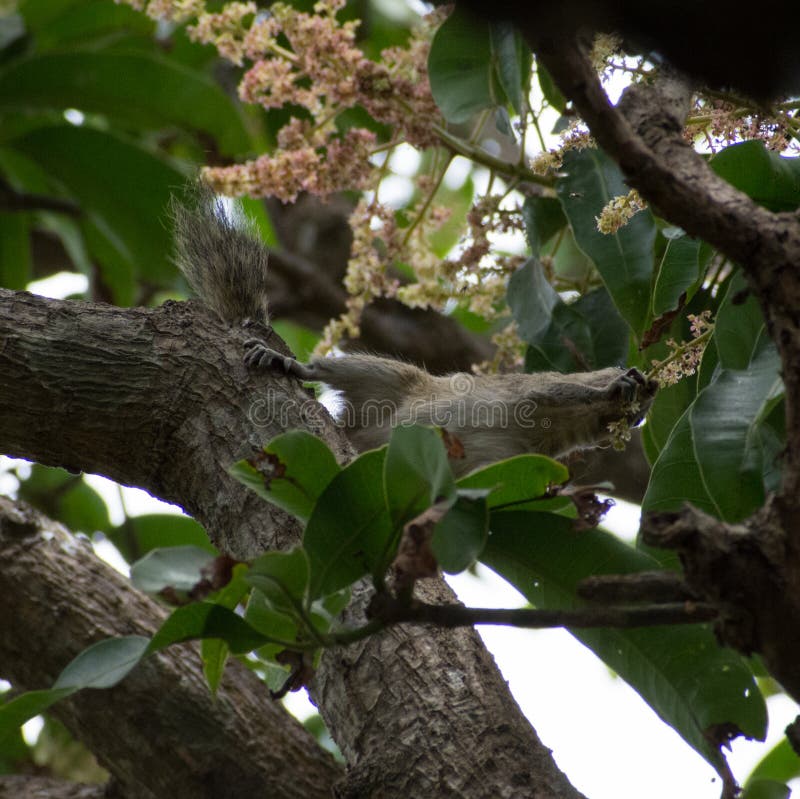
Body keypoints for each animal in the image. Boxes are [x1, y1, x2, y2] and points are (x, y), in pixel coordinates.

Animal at [172, 194, 658, 475]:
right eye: (616, 366)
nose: (648, 390)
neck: (556, 432)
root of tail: (359, 430)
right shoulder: (537, 390)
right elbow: (559, 390)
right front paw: (617, 387)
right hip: (382, 375)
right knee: (327, 369)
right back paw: (285, 362)